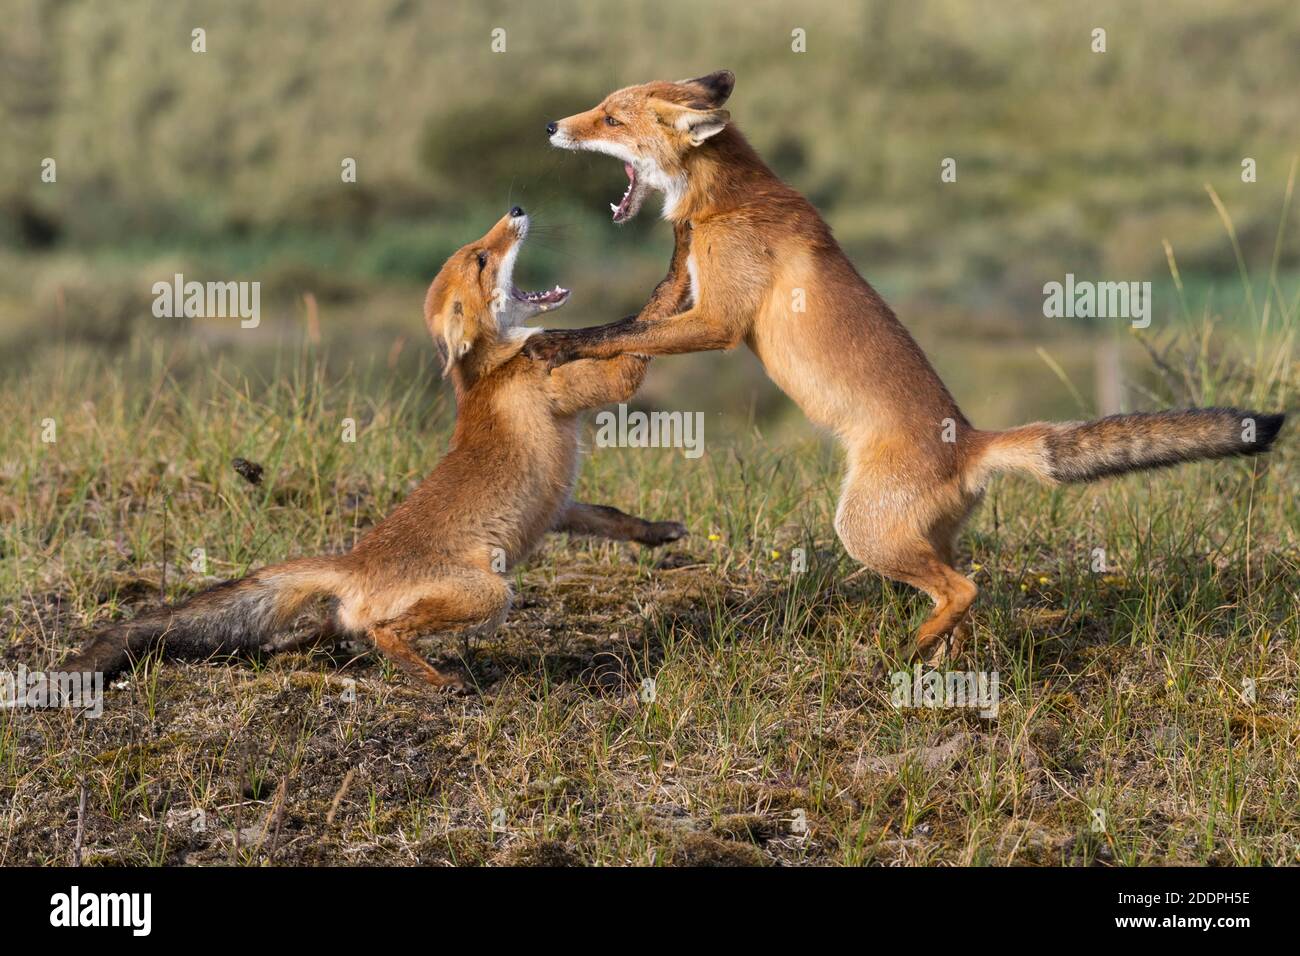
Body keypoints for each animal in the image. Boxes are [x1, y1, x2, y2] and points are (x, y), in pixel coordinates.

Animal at [59, 208, 685, 691]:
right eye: (482, 259)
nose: (516, 209)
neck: (495, 367)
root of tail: (352, 562)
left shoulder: (560, 507)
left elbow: (613, 517)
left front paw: (658, 533)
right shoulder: (580, 382)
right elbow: (641, 338)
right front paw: (678, 270)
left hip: (373, 611)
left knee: (332, 628)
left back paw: (286, 652)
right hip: (490, 591)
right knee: (385, 631)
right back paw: (439, 682)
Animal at [526, 70, 1287, 663]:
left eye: (611, 117)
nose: (551, 125)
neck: (726, 202)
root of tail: (972, 442)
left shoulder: (718, 322)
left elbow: (613, 333)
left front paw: (553, 344)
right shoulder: (690, 295)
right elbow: (634, 320)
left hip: (861, 531)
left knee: (966, 587)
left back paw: (913, 650)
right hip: (919, 538)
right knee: (964, 590)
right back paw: (945, 658)